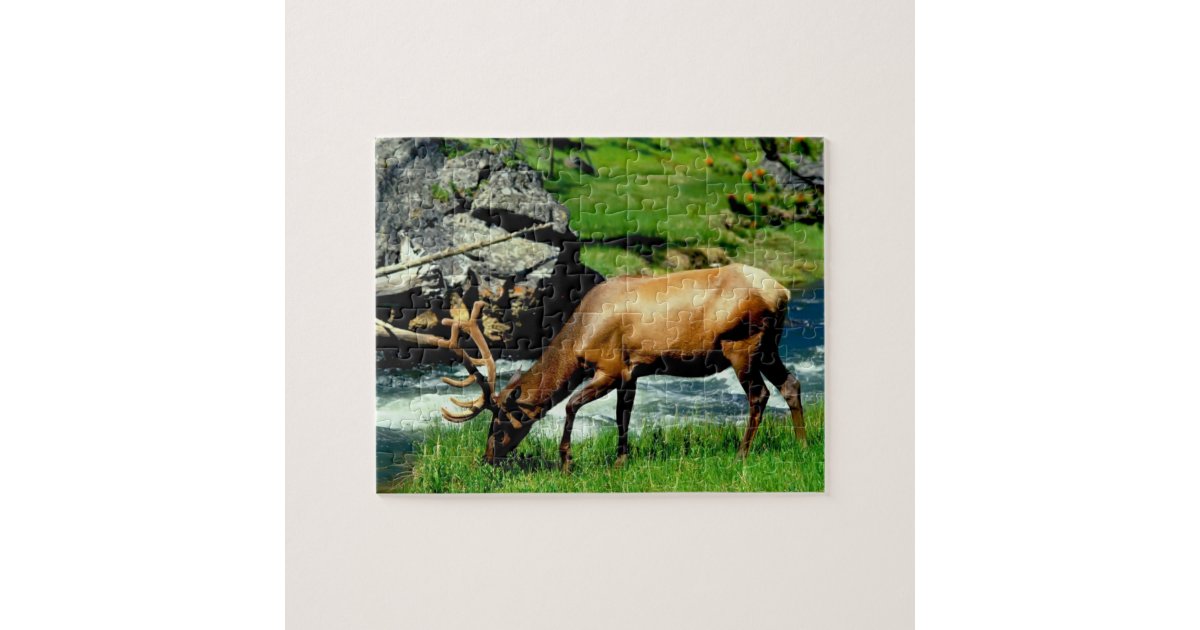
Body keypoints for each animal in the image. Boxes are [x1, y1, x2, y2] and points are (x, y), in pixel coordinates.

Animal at [431, 263, 807, 471]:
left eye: (498, 426)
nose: (487, 459)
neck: (580, 338)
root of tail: (781, 292)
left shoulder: (610, 367)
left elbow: (571, 405)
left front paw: (566, 462)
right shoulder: (632, 370)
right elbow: (621, 417)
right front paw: (620, 460)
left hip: (741, 343)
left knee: (759, 395)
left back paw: (742, 454)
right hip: (768, 346)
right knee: (791, 384)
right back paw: (802, 444)